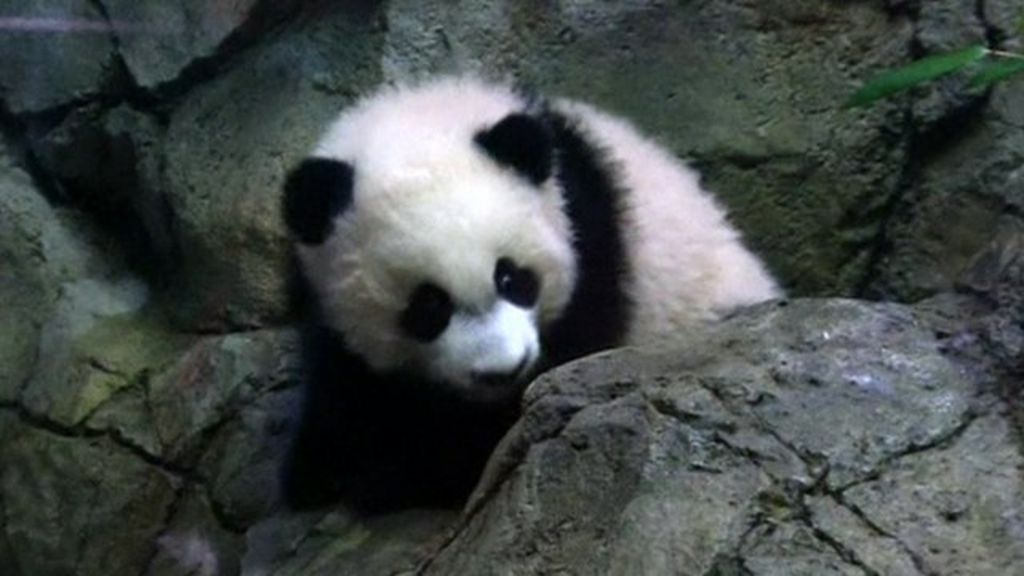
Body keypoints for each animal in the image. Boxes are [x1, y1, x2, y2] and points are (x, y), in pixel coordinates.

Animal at [280, 76, 780, 513]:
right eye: (428, 306)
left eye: (512, 278)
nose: (502, 372)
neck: (421, 118)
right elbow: (344, 374)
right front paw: (317, 469)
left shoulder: (591, 243)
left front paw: (394, 476)